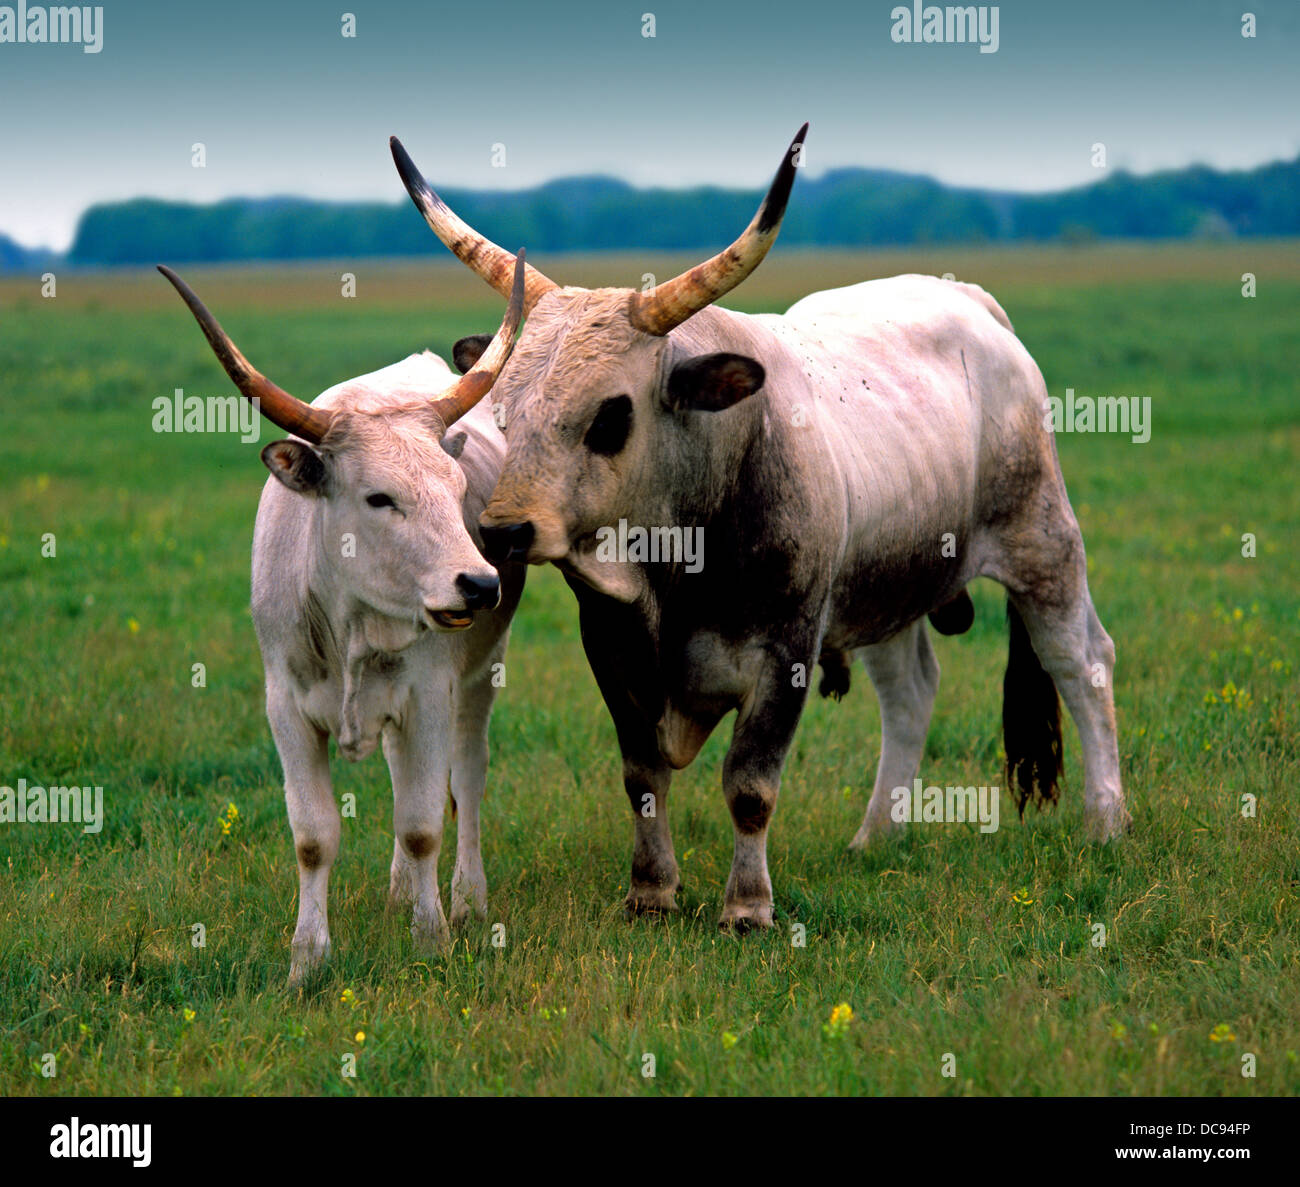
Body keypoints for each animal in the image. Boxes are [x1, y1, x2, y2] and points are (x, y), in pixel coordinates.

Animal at [159, 255, 528, 982]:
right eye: (379, 497)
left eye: (455, 488)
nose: (479, 584)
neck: (352, 621)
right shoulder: (285, 706)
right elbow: (314, 836)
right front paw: (307, 960)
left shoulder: (430, 694)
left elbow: (423, 821)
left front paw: (432, 939)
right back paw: (398, 892)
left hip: (478, 677)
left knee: (466, 774)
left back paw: (466, 899)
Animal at [389, 128, 1131, 932]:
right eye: (502, 410)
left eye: (610, 417)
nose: (503, 530)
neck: (674, 568)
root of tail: (972, 302)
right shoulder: (612, 647)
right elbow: (641, 775)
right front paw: (651, 891)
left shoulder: (787, 652)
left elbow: (749, 783)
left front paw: (747, 907)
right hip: (884, 582)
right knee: (910, 692)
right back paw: (876, 835)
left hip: (1042, 541)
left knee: (1081, 663)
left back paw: (1106, 820)